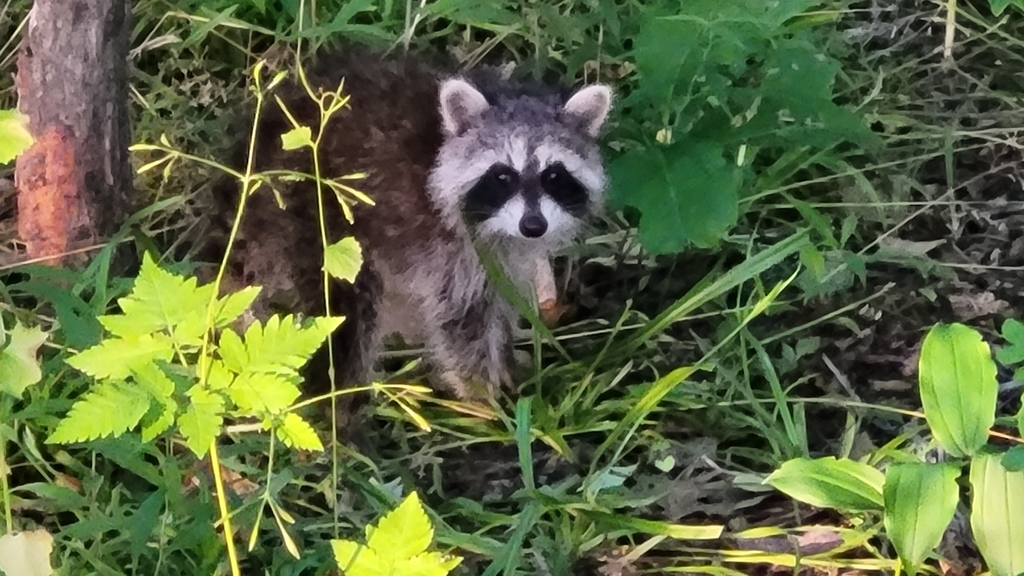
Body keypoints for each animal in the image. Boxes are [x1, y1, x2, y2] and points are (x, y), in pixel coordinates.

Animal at [206, 48, 613, 409]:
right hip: (308, 218)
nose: (533, 226)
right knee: (343, 313)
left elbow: (501, 298)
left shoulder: (503, 252)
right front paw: (482, 394)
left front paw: (508, 358)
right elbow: (461, 323)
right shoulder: (449, 249)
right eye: (503, 176)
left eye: (553, 176)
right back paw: (339, 402)